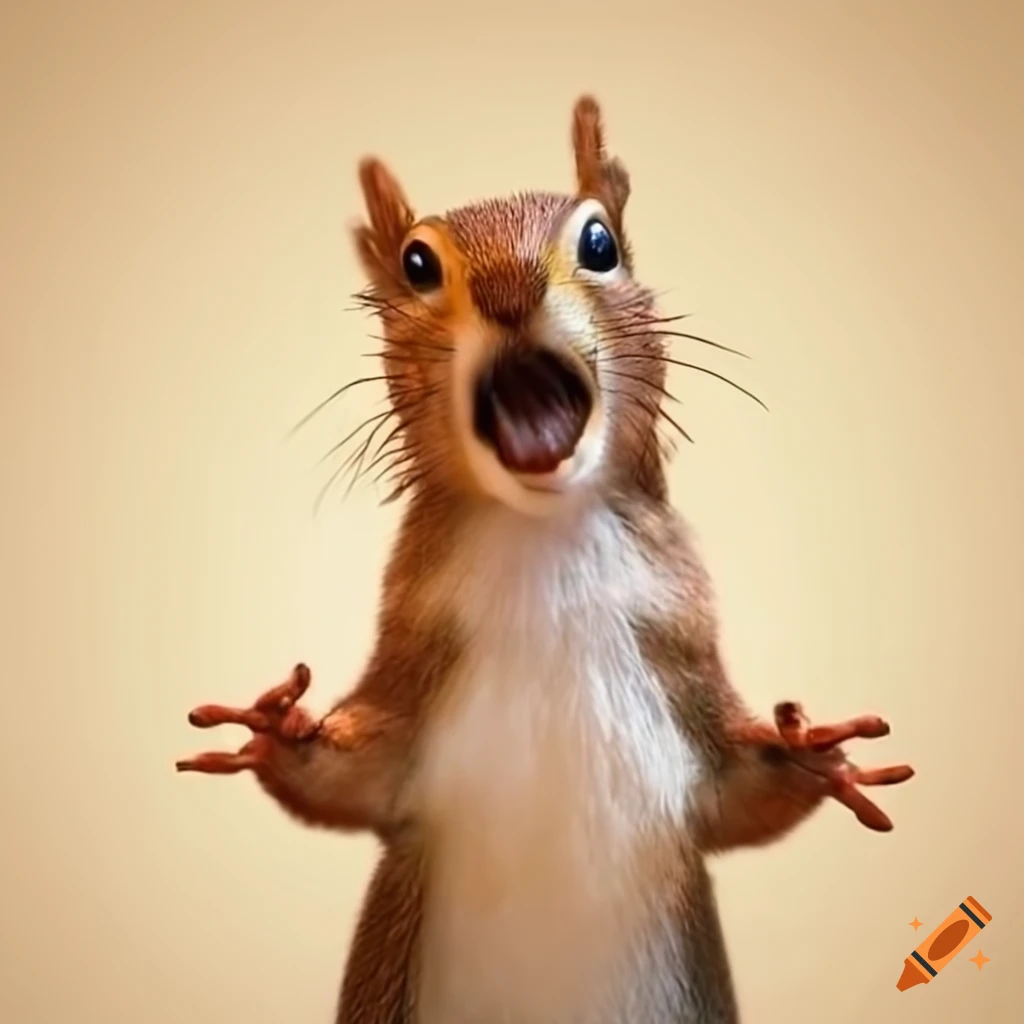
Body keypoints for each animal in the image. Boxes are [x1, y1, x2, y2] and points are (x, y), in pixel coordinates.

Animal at [177, 95, 914, 1024]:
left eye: (600, 243)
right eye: (416, 263)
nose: (508, 290)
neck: (545, 539)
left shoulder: (680, 646)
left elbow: (740, 793)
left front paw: (809, 750)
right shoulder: (413, 658)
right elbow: (354, 780)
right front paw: (280, 729)